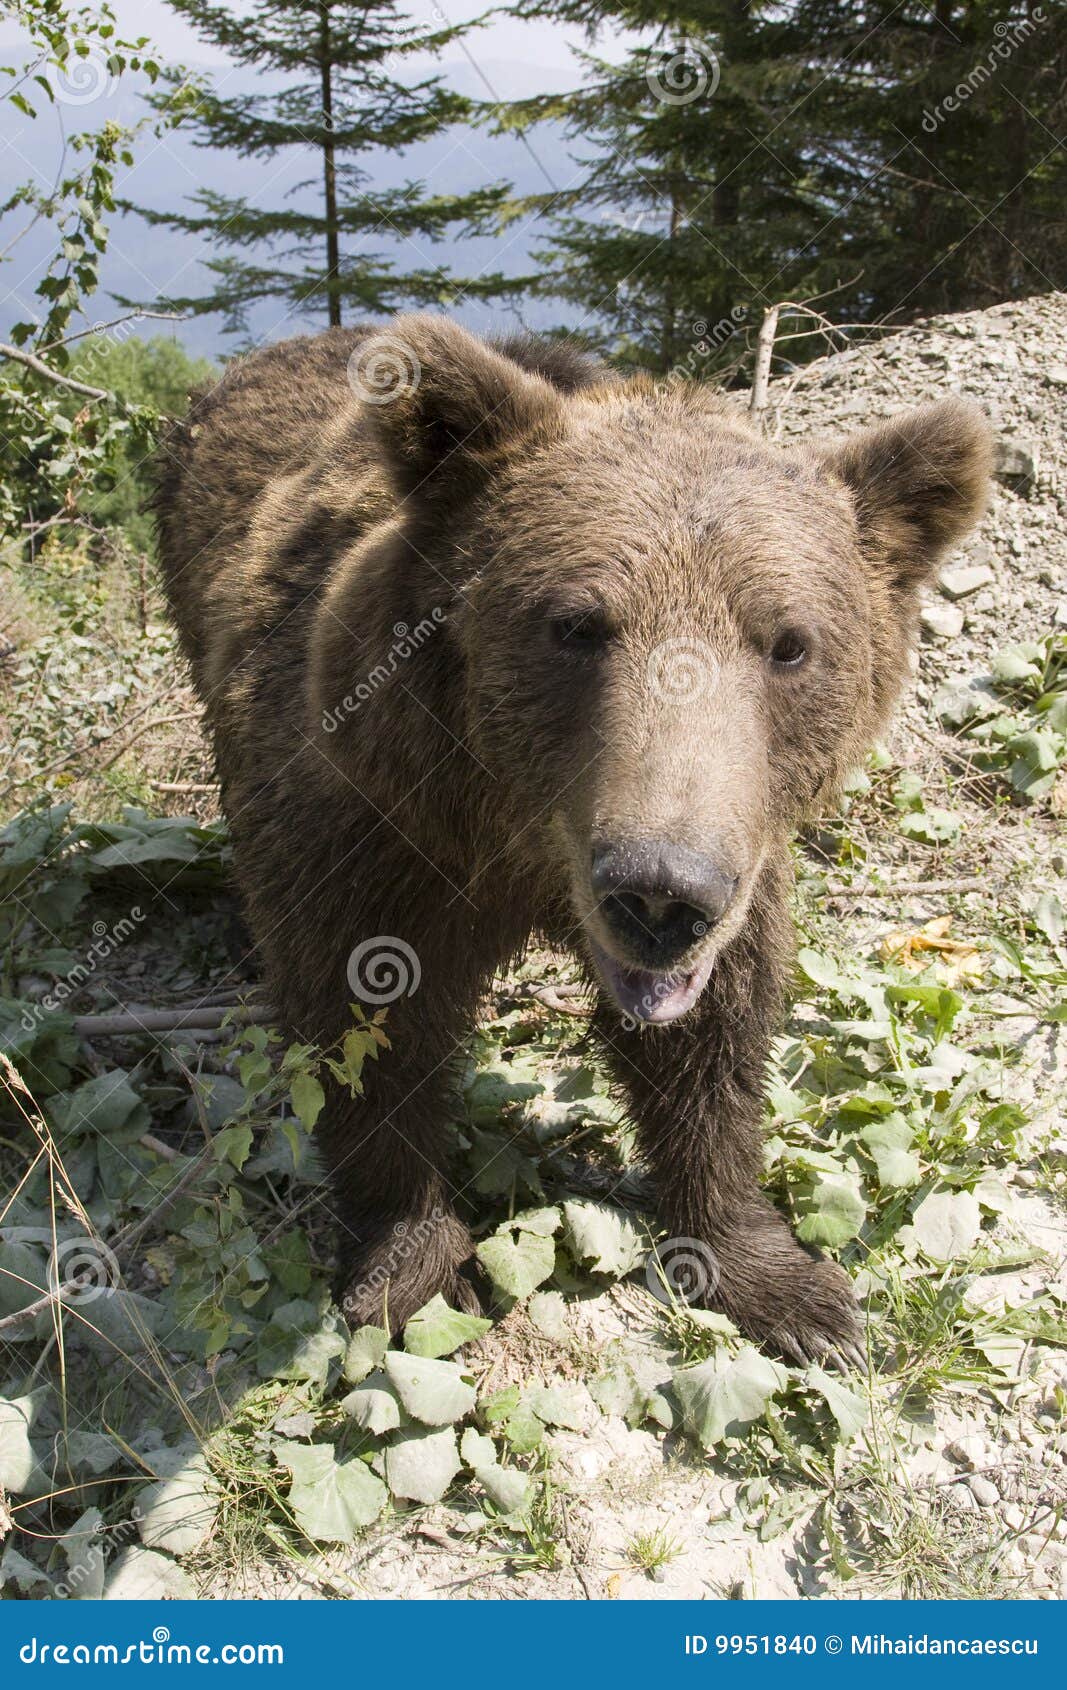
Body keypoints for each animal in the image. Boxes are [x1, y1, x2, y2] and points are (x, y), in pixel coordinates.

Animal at [152, 314, 991, 1367]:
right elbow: (365, 1027)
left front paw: (782, 1282)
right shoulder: (373, 833)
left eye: (790, 643)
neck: (518, 844)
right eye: (576, 624)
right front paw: (412, 1264)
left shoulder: (737, 857)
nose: (661, 893)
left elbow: (712, 1043)